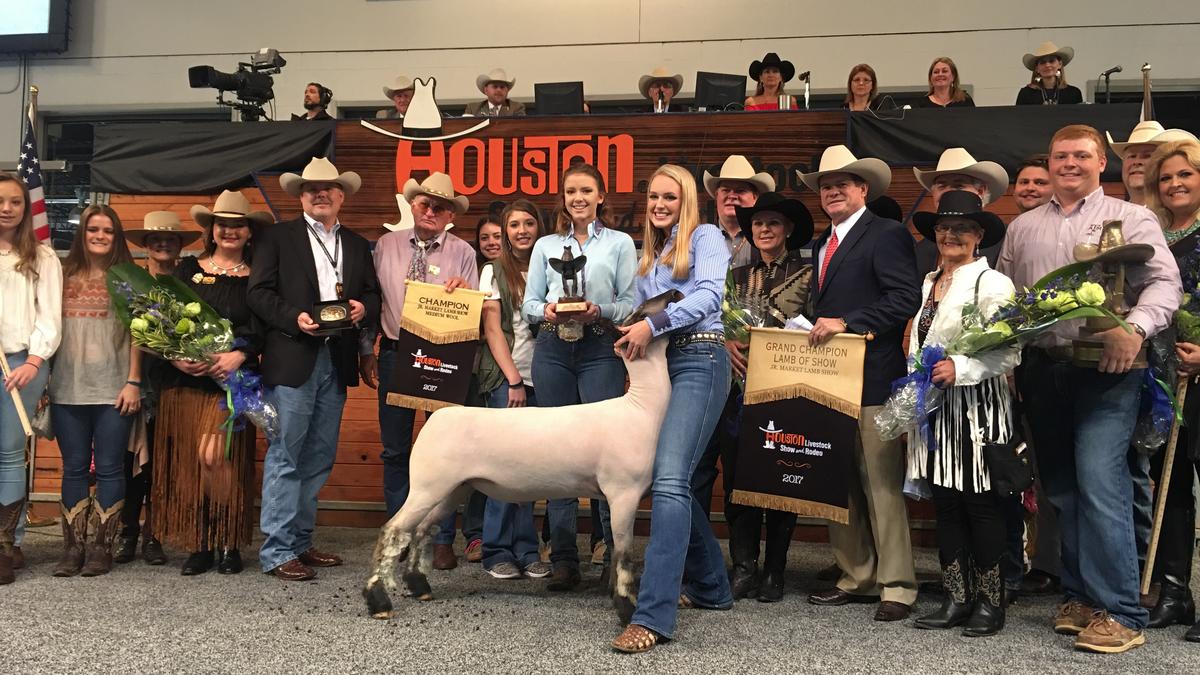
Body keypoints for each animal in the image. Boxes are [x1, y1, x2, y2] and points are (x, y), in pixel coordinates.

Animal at [363, 291, 682, 624]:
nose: (674, 294)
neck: (641, 407)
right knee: (393, 531)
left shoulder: (616, 494)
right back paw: (379, 602)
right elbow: (624, 555)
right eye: (642, 313)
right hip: (427, 485)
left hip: (454, 488)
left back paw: (419, 586)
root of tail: (435, 420)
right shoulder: (623, 491)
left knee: (424, 530)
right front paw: (627, 608)